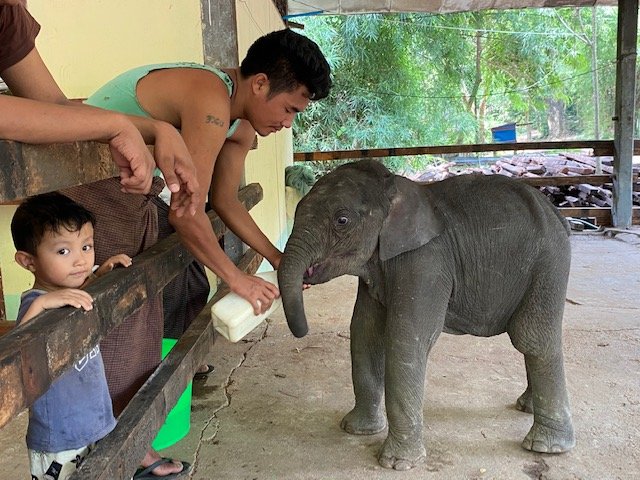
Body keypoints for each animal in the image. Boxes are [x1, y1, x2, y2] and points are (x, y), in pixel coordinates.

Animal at [277, 159, 575, 470]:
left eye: (342, 220)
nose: (302, 331)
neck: (394, 189)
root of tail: (555, 212)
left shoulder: (426, 262)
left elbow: (407, 338)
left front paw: (397, 464)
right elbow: (364, 333)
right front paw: (356, 431)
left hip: (549, 263)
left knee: (533, 339)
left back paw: (545, 447)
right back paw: (527, 407)